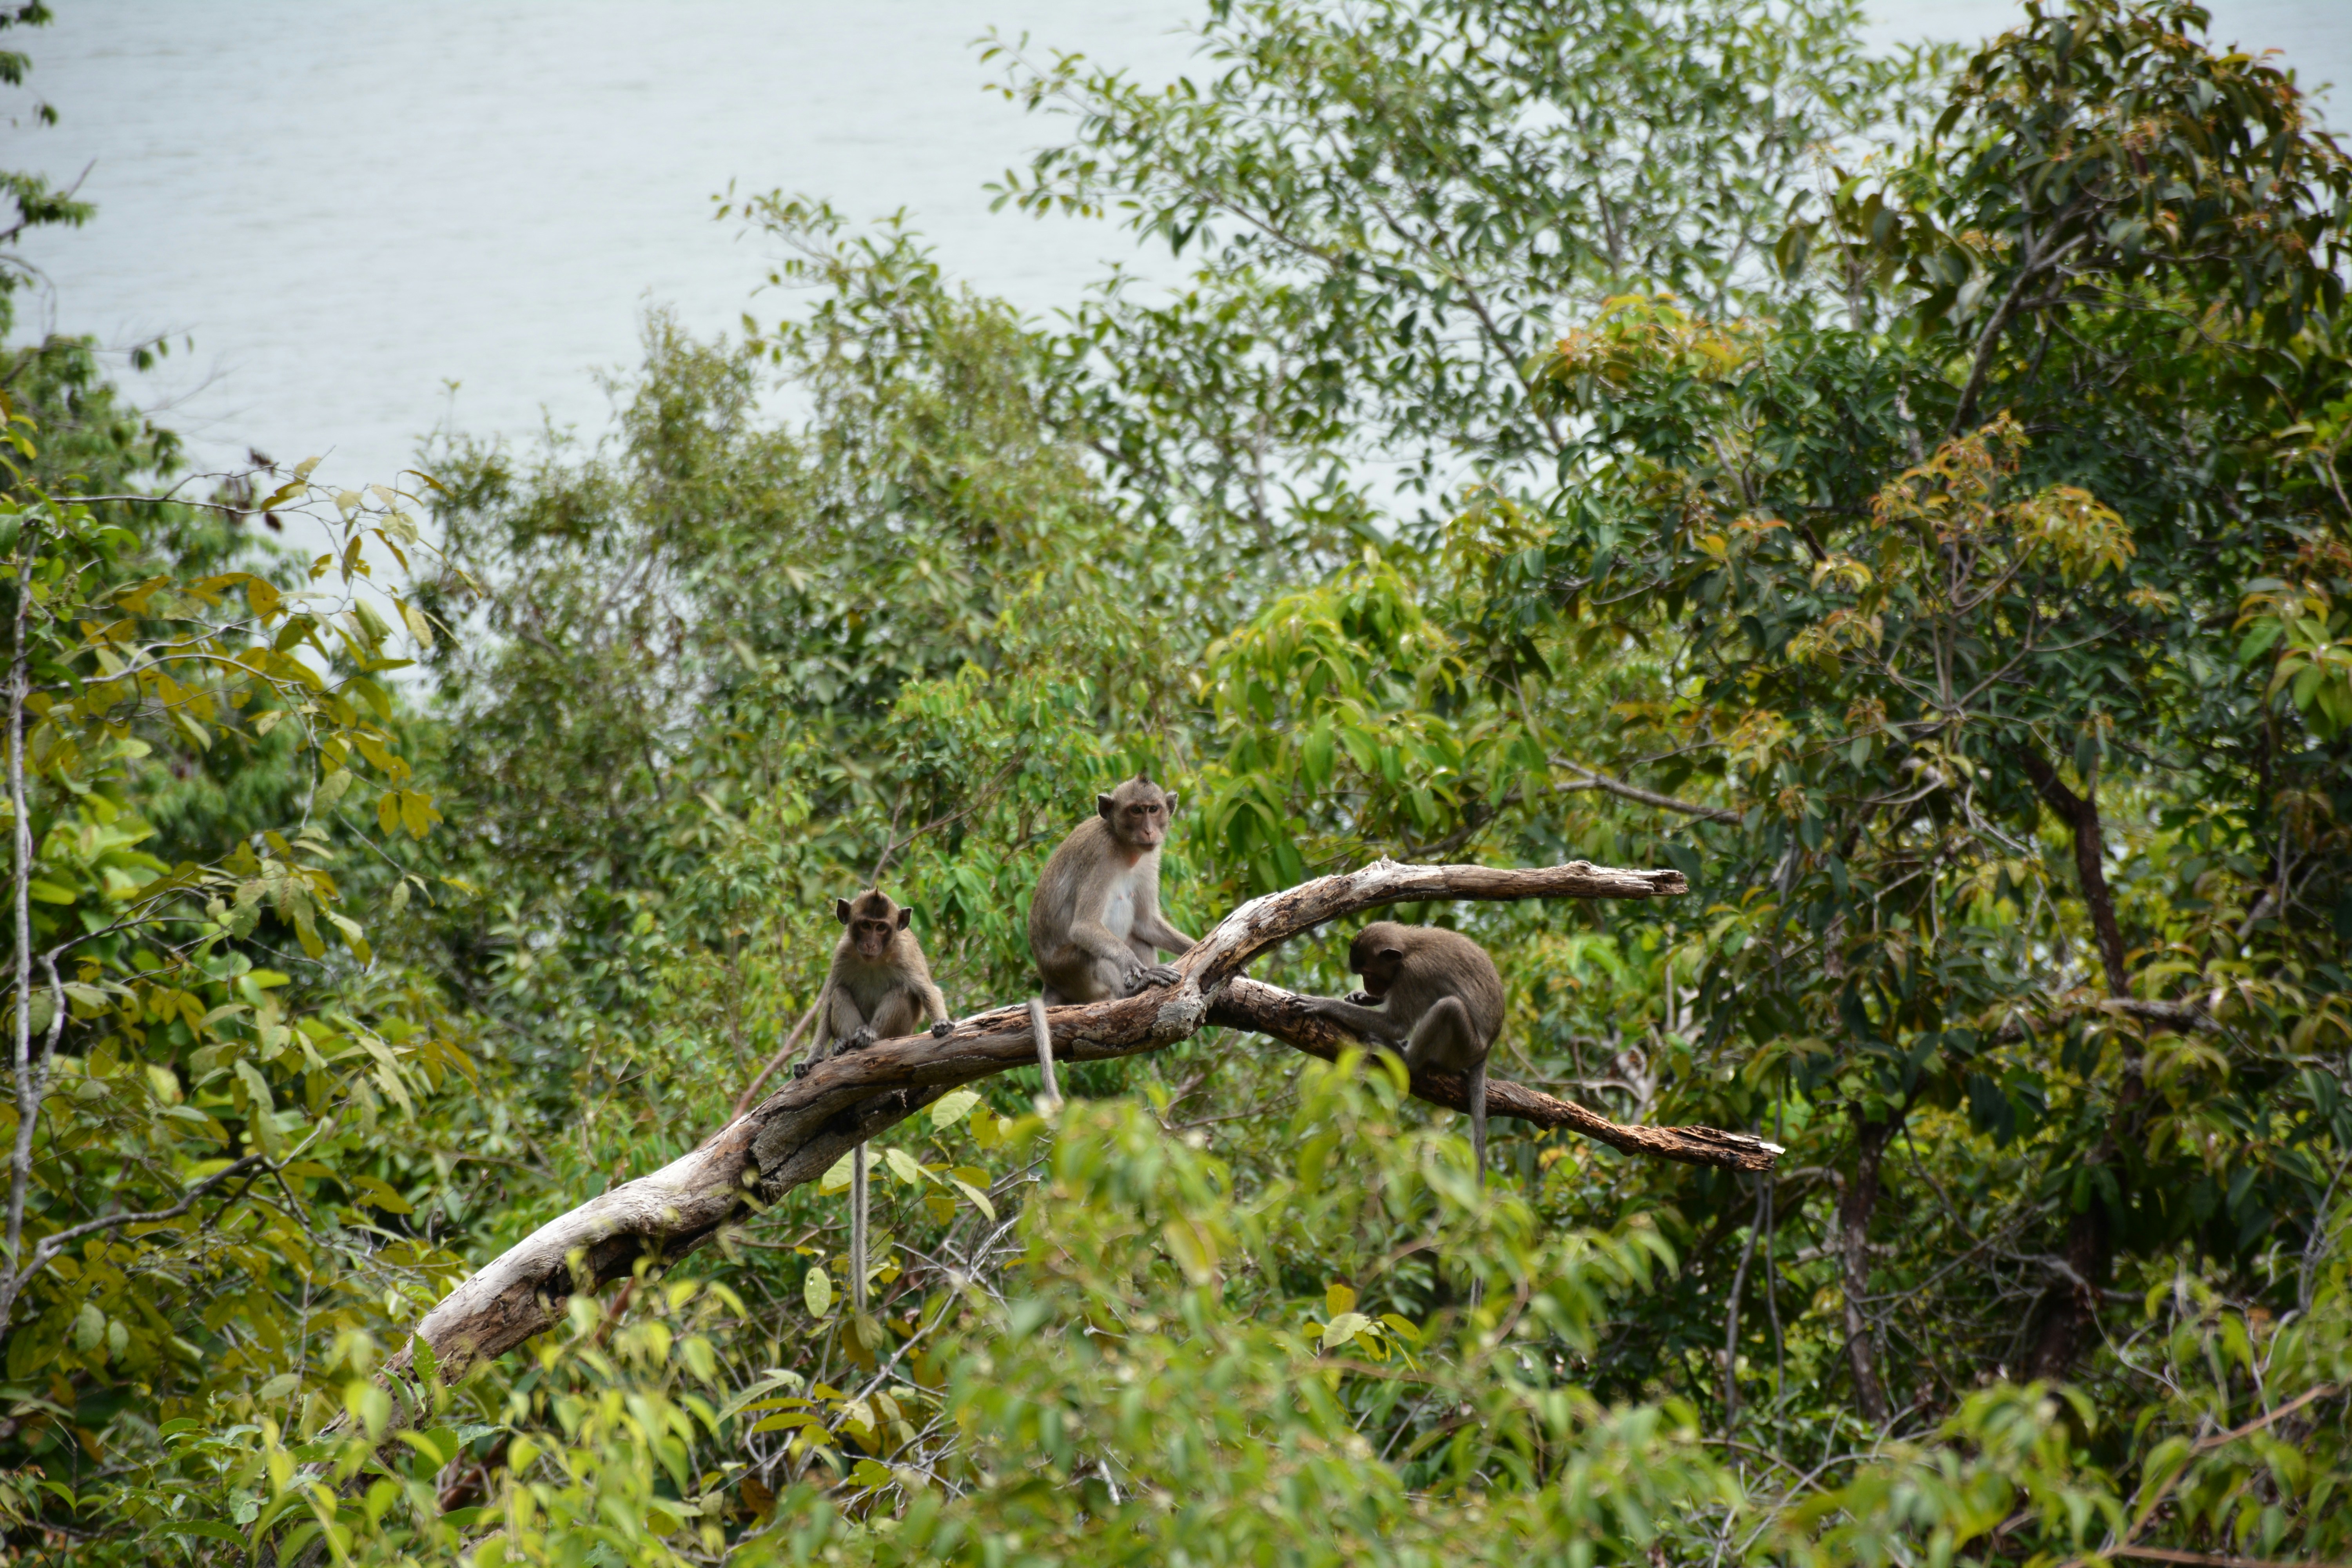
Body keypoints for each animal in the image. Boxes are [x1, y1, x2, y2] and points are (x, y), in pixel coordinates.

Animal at [1026, 772, 1197, 1005]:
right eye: (1136, 811)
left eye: (1154, 809)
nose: (1149, 831)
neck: (1125, 846)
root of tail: (1048, 981)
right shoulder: (1101, 855)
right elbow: (1084, 927)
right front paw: (1131, 963)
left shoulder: (1150, 859)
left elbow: (1146, 924)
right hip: (1066, 972)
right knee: (1090, 951)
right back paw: (1132, 991)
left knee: (1140, 937)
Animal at [1301, 921, 1504, 1186]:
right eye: (1363, 975)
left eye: (1370, 973)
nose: (1368, 987)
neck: (1409, 948)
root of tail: (1484, 1052)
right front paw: (1362, 998)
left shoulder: (1414, 974)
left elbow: (1396, 1025)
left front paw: (1323, 1004)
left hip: (1463, 1048)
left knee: (1449, 1007)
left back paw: (1405, 1057)